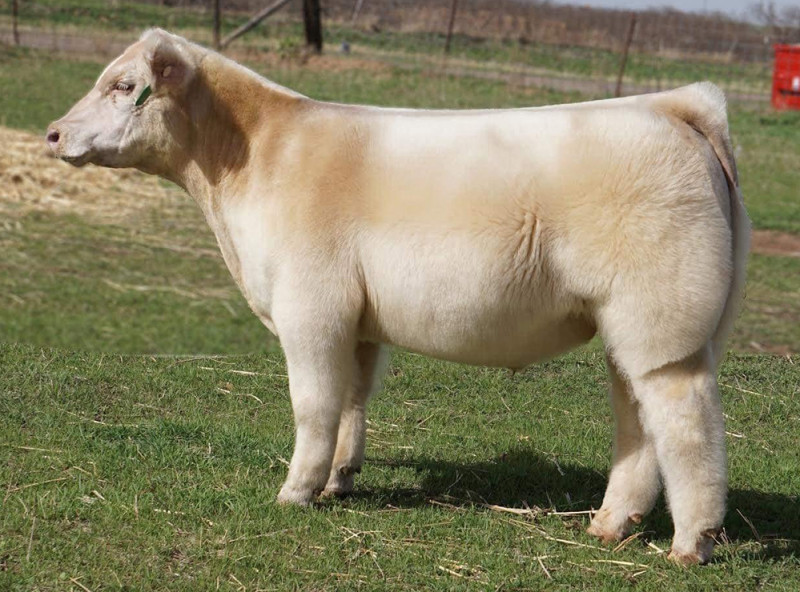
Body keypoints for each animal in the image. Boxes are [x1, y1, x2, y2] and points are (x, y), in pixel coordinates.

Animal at [47, 29, 750, 564]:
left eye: (121, 85)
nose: (52, 133)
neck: (247, 166)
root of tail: (678, 105)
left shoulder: (310, 310)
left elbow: (314, 405)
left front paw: (296, 491)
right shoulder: (357, 322)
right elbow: (353, 400)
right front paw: (338, 480)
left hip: (661, 325)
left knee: (687, 423)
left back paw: (690, 544)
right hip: (632, 328)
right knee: (638, 419)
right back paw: (610, 524)